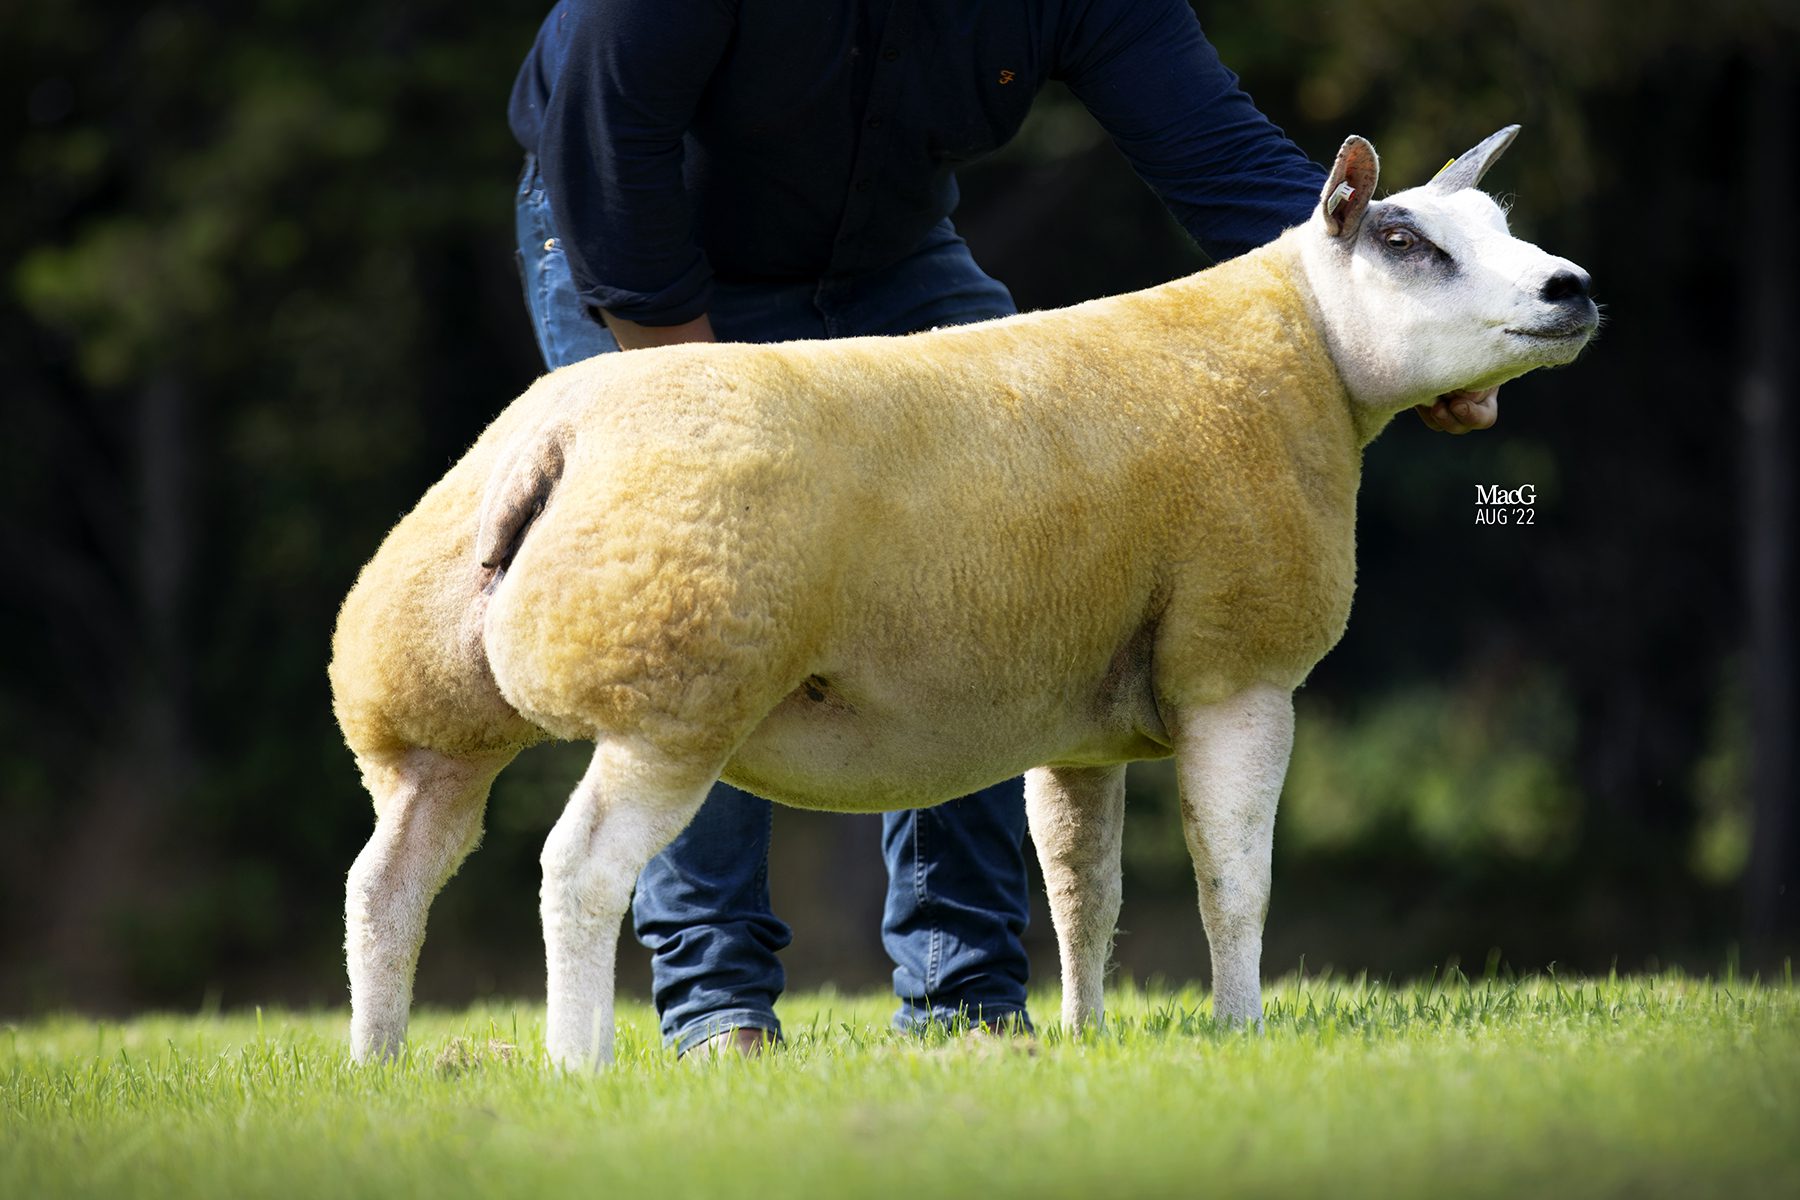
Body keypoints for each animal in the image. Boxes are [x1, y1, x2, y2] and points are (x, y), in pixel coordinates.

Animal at [332, 126, 1598, 1068]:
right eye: (1403, 239)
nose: (1571, 286)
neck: (1314, 353)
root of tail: (549, 440)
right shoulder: (1236, 673)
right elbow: (1235, 876)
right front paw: (1243, 1032)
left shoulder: (1077, 719)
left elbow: (1083, 884)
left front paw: (1084, 1035)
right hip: (670, 694)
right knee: (578, 871)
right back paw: (578, 1064)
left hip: (427, 709)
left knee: (387, 882)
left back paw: (381, 1063)